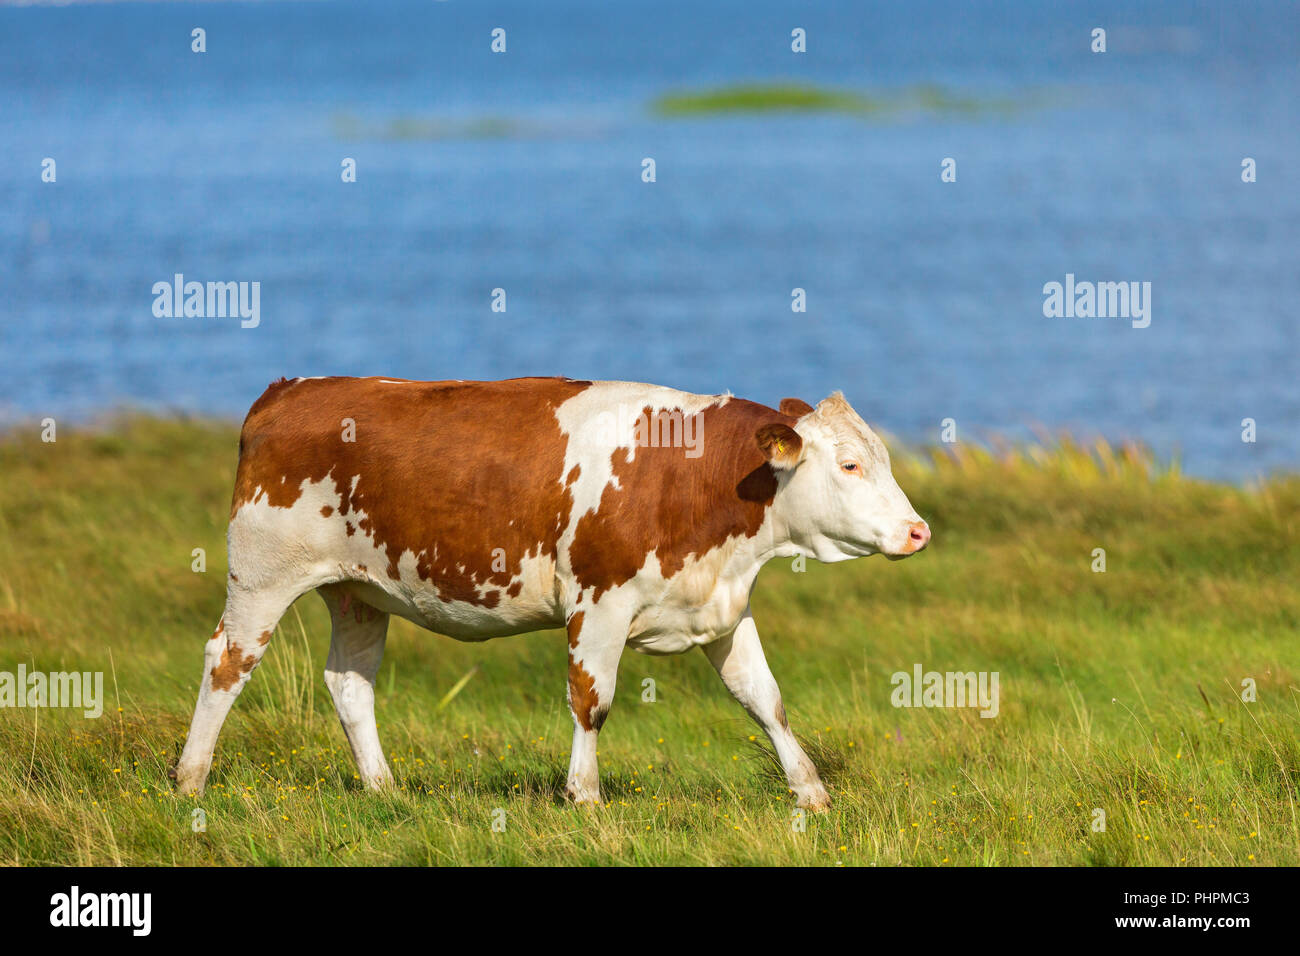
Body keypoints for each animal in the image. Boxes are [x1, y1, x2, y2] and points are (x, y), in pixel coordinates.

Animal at [171, 376, 930, 809]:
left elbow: (764, 699)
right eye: (851, 465)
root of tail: (291, 389)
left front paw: (811, 793)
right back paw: (190, 780)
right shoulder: (599, 602)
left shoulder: (718, 604)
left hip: (358, 592)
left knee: (350, 684)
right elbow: (592, 702)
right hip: (262, 574)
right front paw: (585, 798)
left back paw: (384, 789)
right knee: (227, 663)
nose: (919, 531)